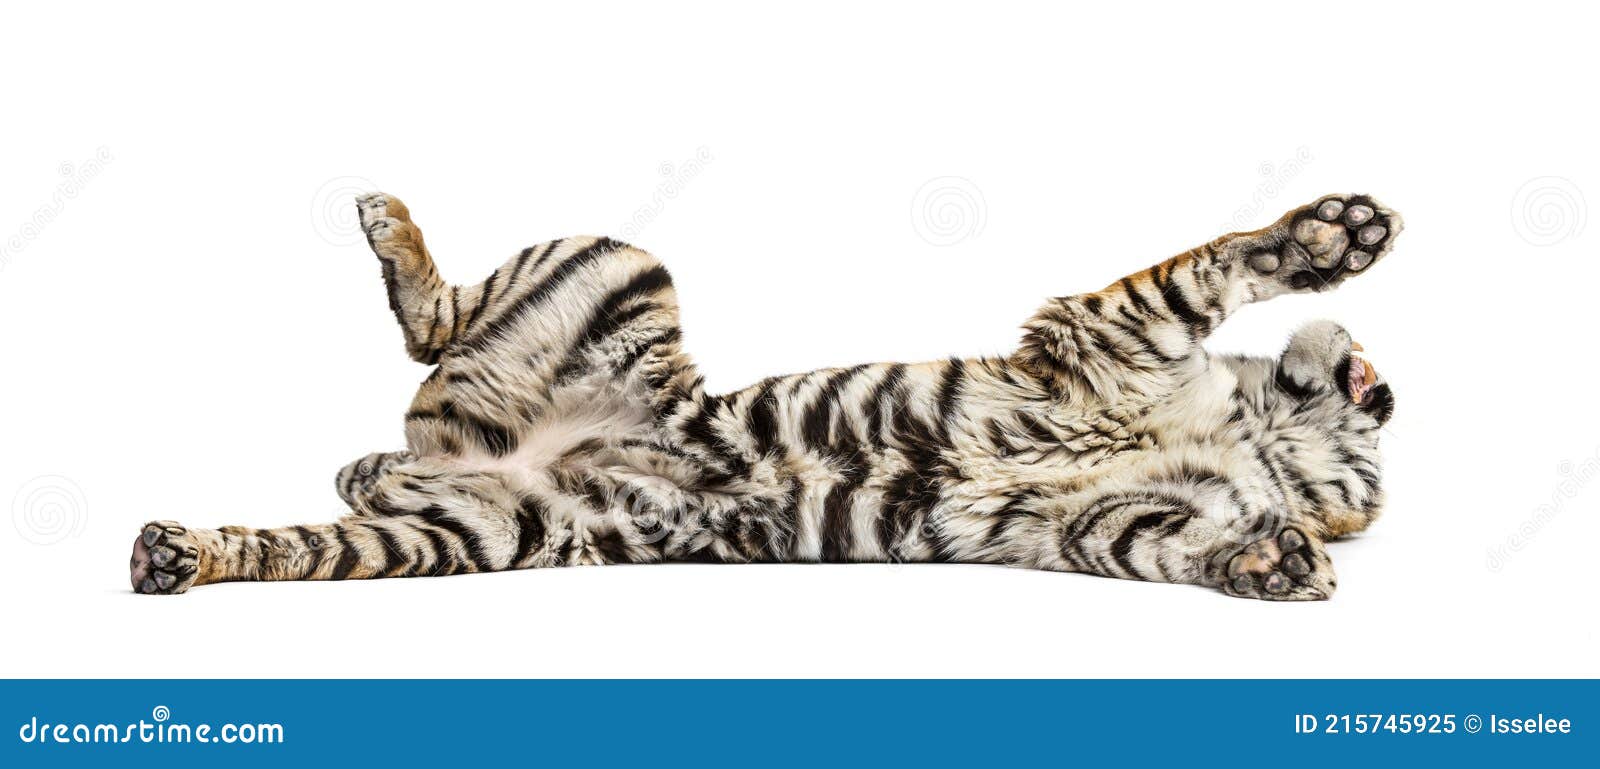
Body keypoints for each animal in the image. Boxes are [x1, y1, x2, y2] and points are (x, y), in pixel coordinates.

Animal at [129, 191, 1398, 600]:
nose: (1382, 391)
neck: (1243, 444)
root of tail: (454, 446)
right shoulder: (1113, 330)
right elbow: (1226, 262)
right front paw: (1333, 237)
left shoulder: (1082, 521)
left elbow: (1174, 538)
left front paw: (1268, 557)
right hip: (622, 260)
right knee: (427, 316)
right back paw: (389, 226)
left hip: (476, 530)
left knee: (303, 535)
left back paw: (180, 551)